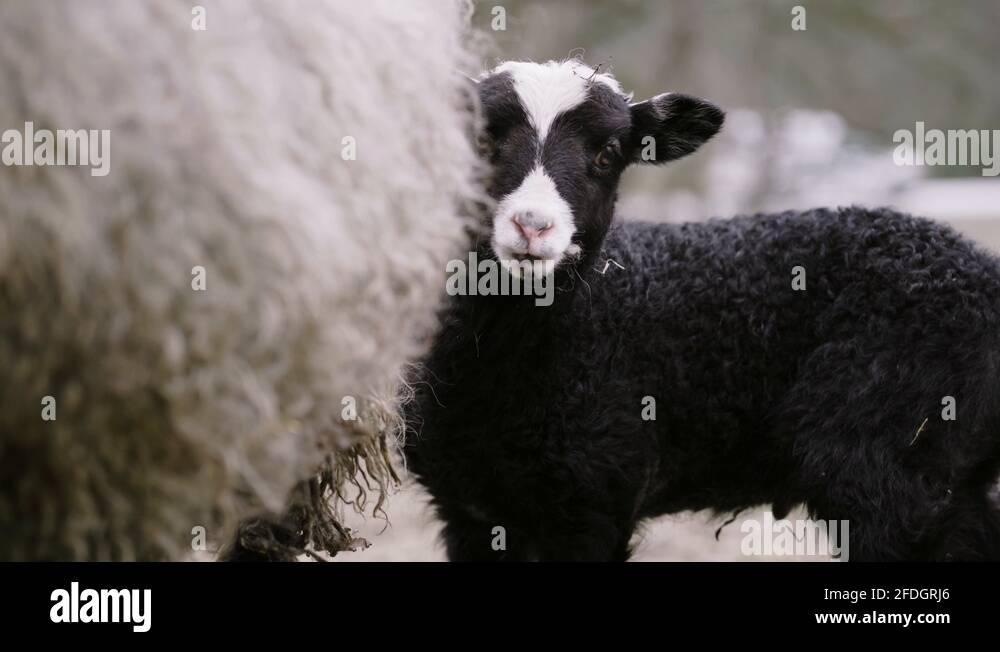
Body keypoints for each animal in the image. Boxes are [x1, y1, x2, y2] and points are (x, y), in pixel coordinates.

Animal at [404, 59, 1000, 561]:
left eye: (607, 154)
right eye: (483, 139)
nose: (532, 225)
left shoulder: (592, 501)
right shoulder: (471, 510)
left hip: (891, 464)